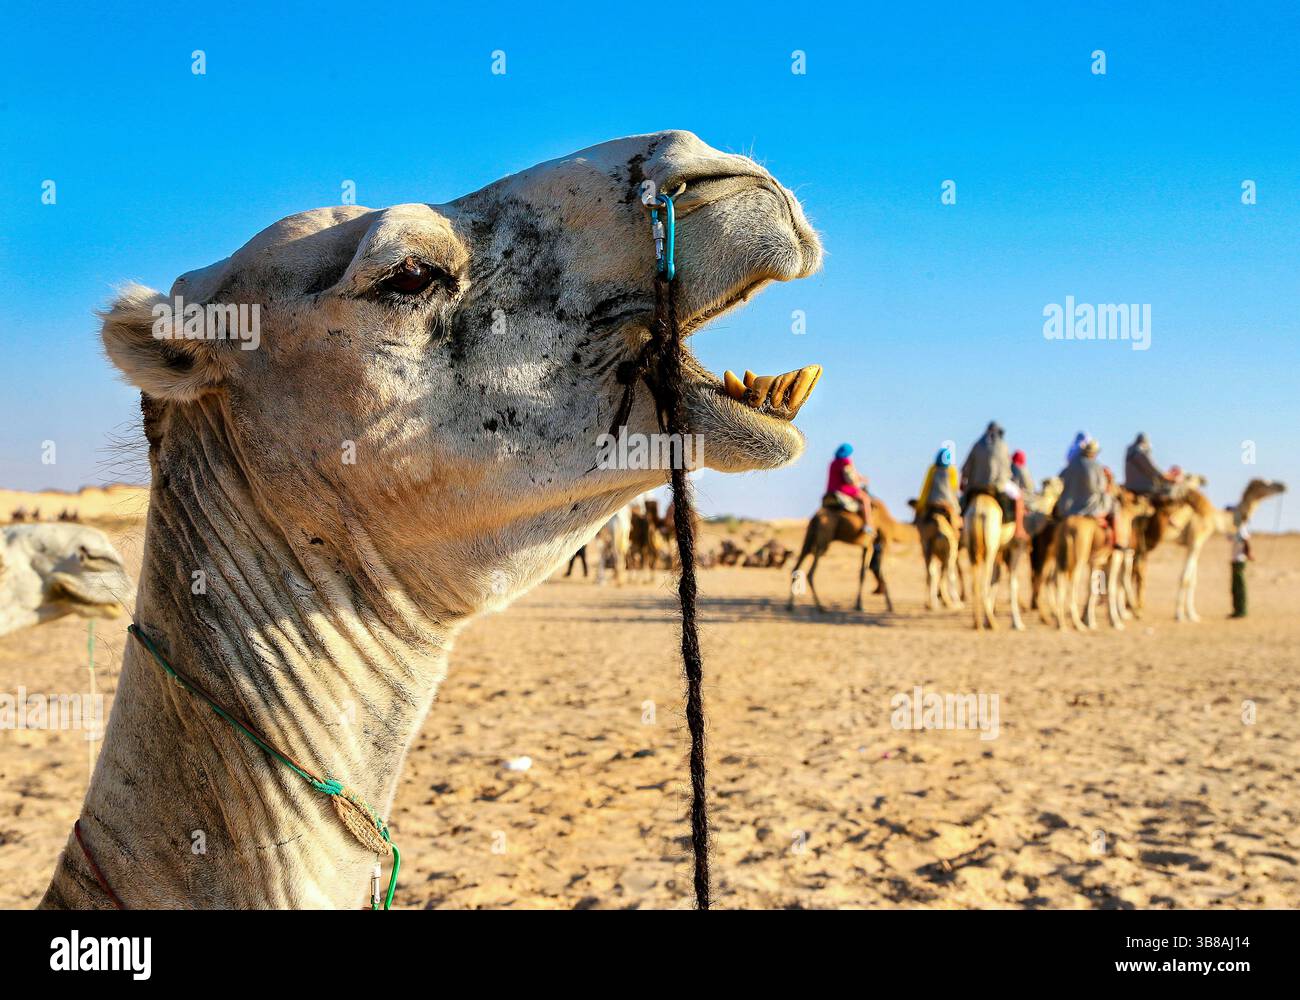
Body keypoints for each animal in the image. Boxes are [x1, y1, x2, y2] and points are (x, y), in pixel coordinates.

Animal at [1127, 479, 1285, 622]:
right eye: (1265, 484)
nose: (1283, 485)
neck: (1214, 517)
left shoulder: (1193, 545)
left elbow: (1193, 579)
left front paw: (1192, 615)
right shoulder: (1196, 540)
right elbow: (1185, 578)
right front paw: (1180, 615)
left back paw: (1133, 610)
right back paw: (1131, 611)